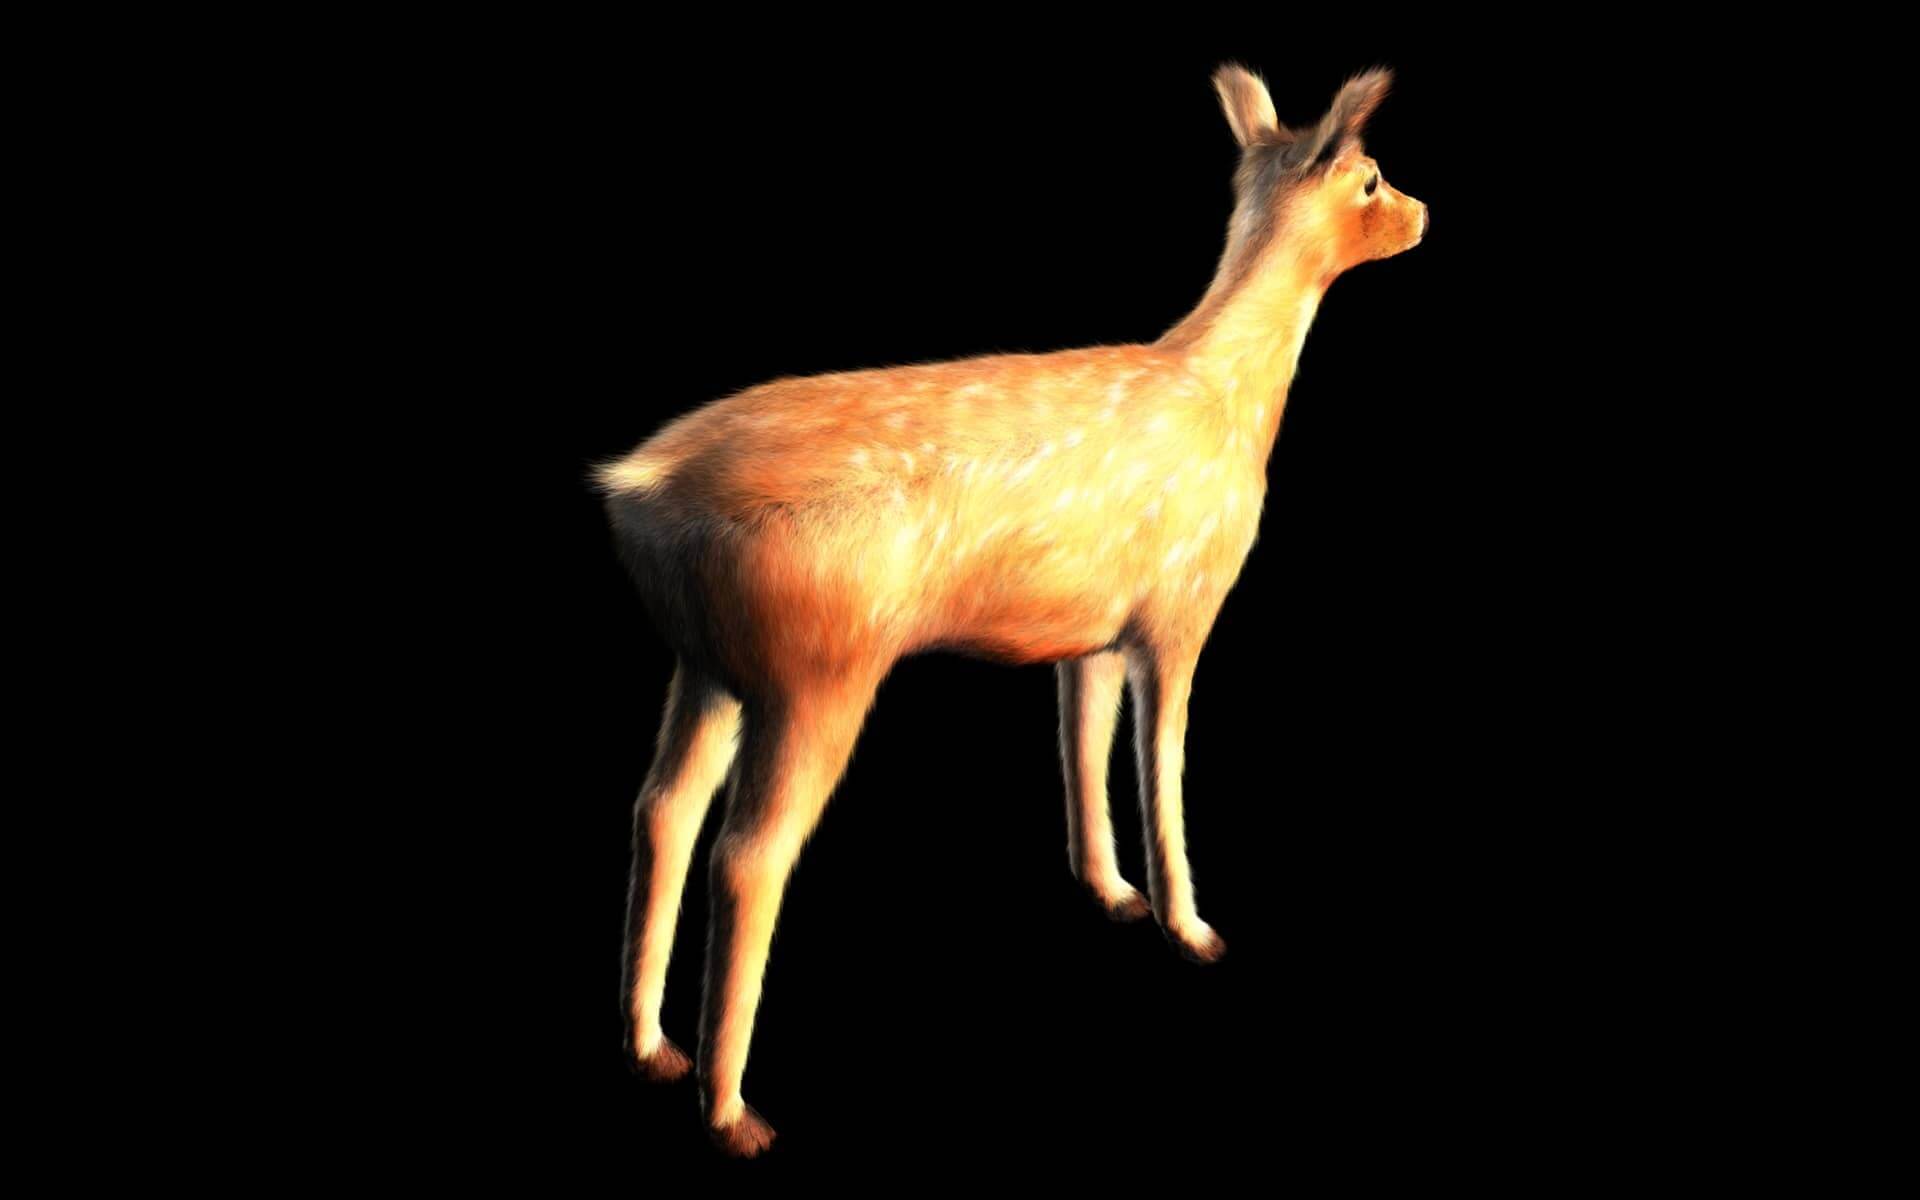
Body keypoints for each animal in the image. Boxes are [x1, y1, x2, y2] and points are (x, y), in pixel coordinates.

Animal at [596, 63, 1428, 1156]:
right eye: (1371, 177)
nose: (1423, 211)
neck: (1225, 399)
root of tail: (635, 490)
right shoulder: (1181, 606)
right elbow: (1163, 766)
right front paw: (1194, 928)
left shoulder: (1092, 631)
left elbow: (1080, 747)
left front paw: (1111, 891)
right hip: (814, 668)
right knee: (748, 854)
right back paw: (733, 1109)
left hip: (705, 666)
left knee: (662, 809)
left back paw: (650, 1048)